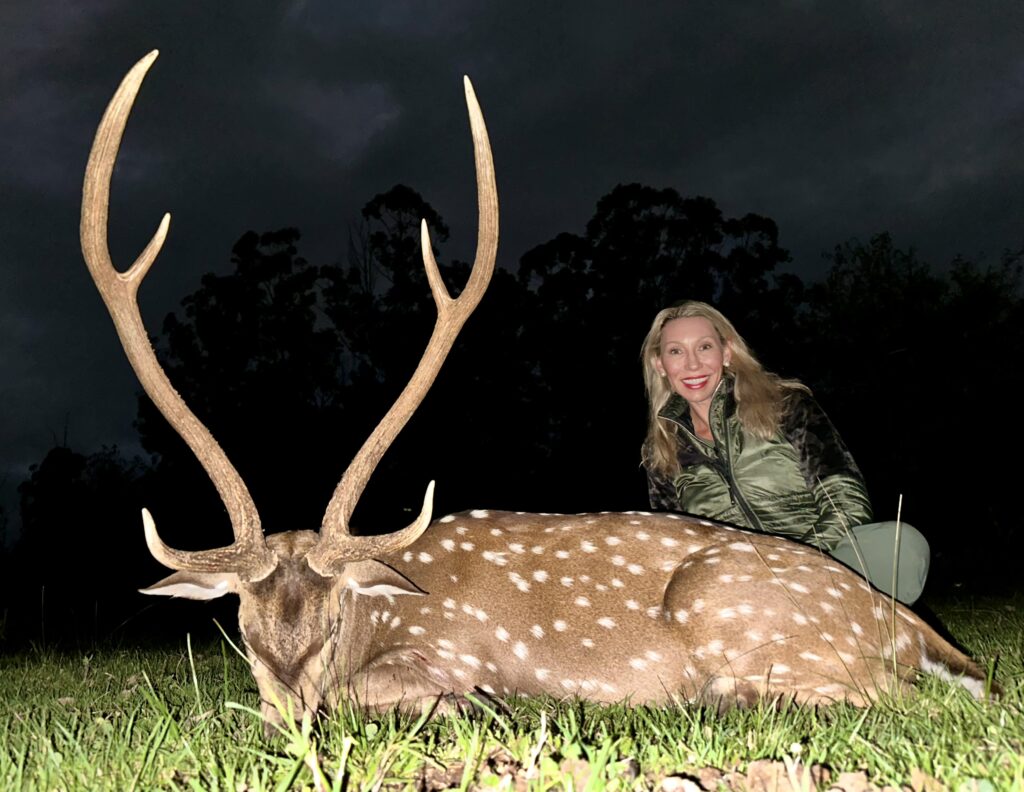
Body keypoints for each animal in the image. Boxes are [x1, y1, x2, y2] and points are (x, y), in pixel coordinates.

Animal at [82, 51, 995, 732]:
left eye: (337, 618)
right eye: (239, 624)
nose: (292, 723)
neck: (384, 615)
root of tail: (902, 621)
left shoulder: (448, 646)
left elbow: (399, 692)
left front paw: (471, 706)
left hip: (738, 612)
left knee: (887, 698)